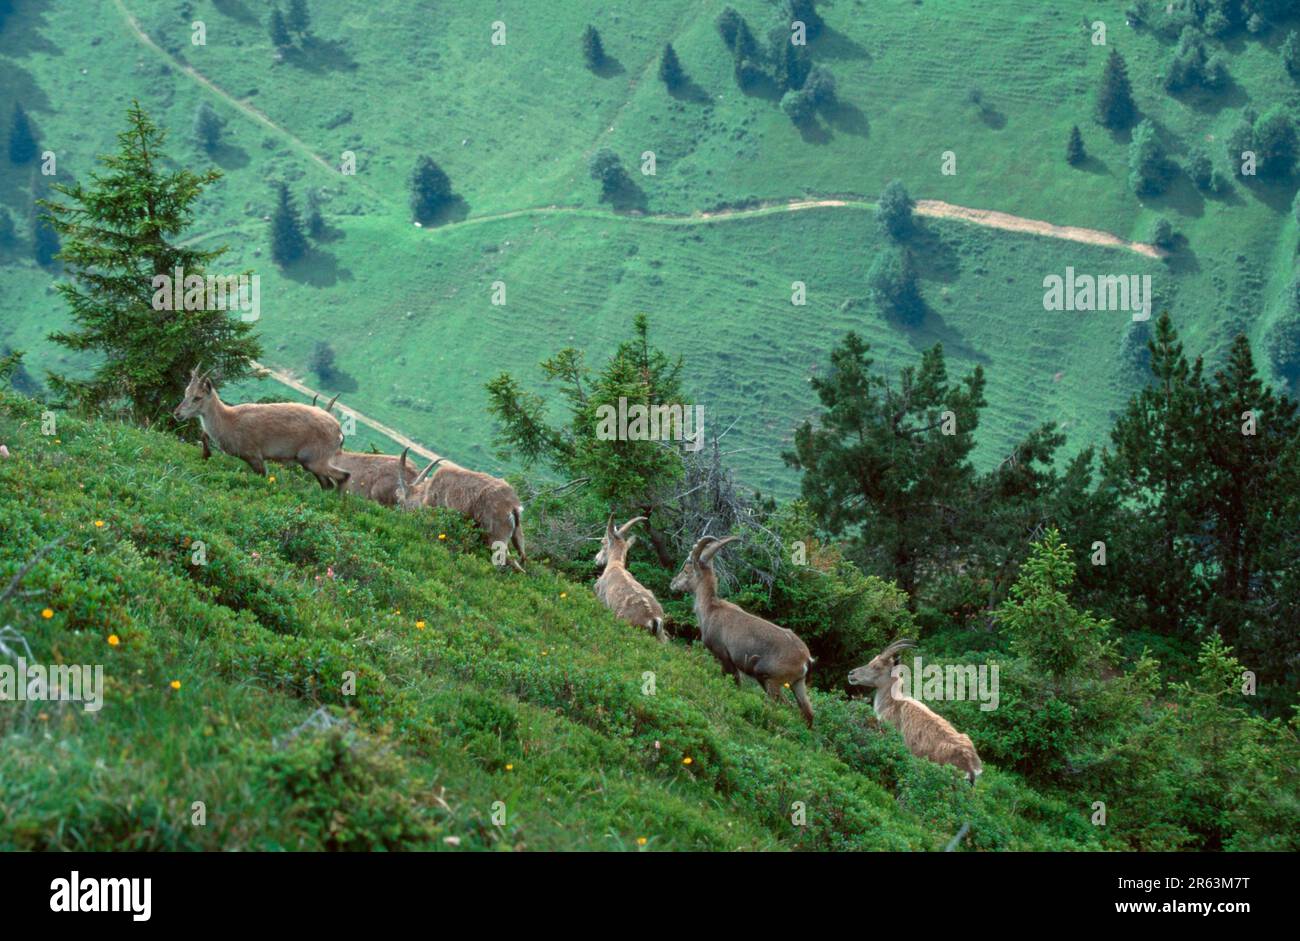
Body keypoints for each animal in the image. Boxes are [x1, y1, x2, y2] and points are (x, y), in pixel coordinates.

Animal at [173, 367, 349, 491]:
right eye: (186, 392)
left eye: (197, 397)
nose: (177, 413)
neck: (229, 420)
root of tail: (339, 432)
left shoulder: (255, 456)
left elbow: (263, 478)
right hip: (313, 463)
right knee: (328, 484)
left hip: (314, 460)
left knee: (344, 476)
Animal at [394, 447, 526, 572]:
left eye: (401, 502)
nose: (399, 516)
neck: (429, 491)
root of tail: (512, 506)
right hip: (517, 535)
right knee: (522, 558)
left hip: (497, 536)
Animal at [670, 535, 814, 727]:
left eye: (687, 571)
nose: (672, 583)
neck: (711, 609)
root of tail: (805, 658)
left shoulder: (724, 656)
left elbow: (734, 682)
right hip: (797, 682)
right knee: (808, 712)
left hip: (772, 681)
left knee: (784, 706)